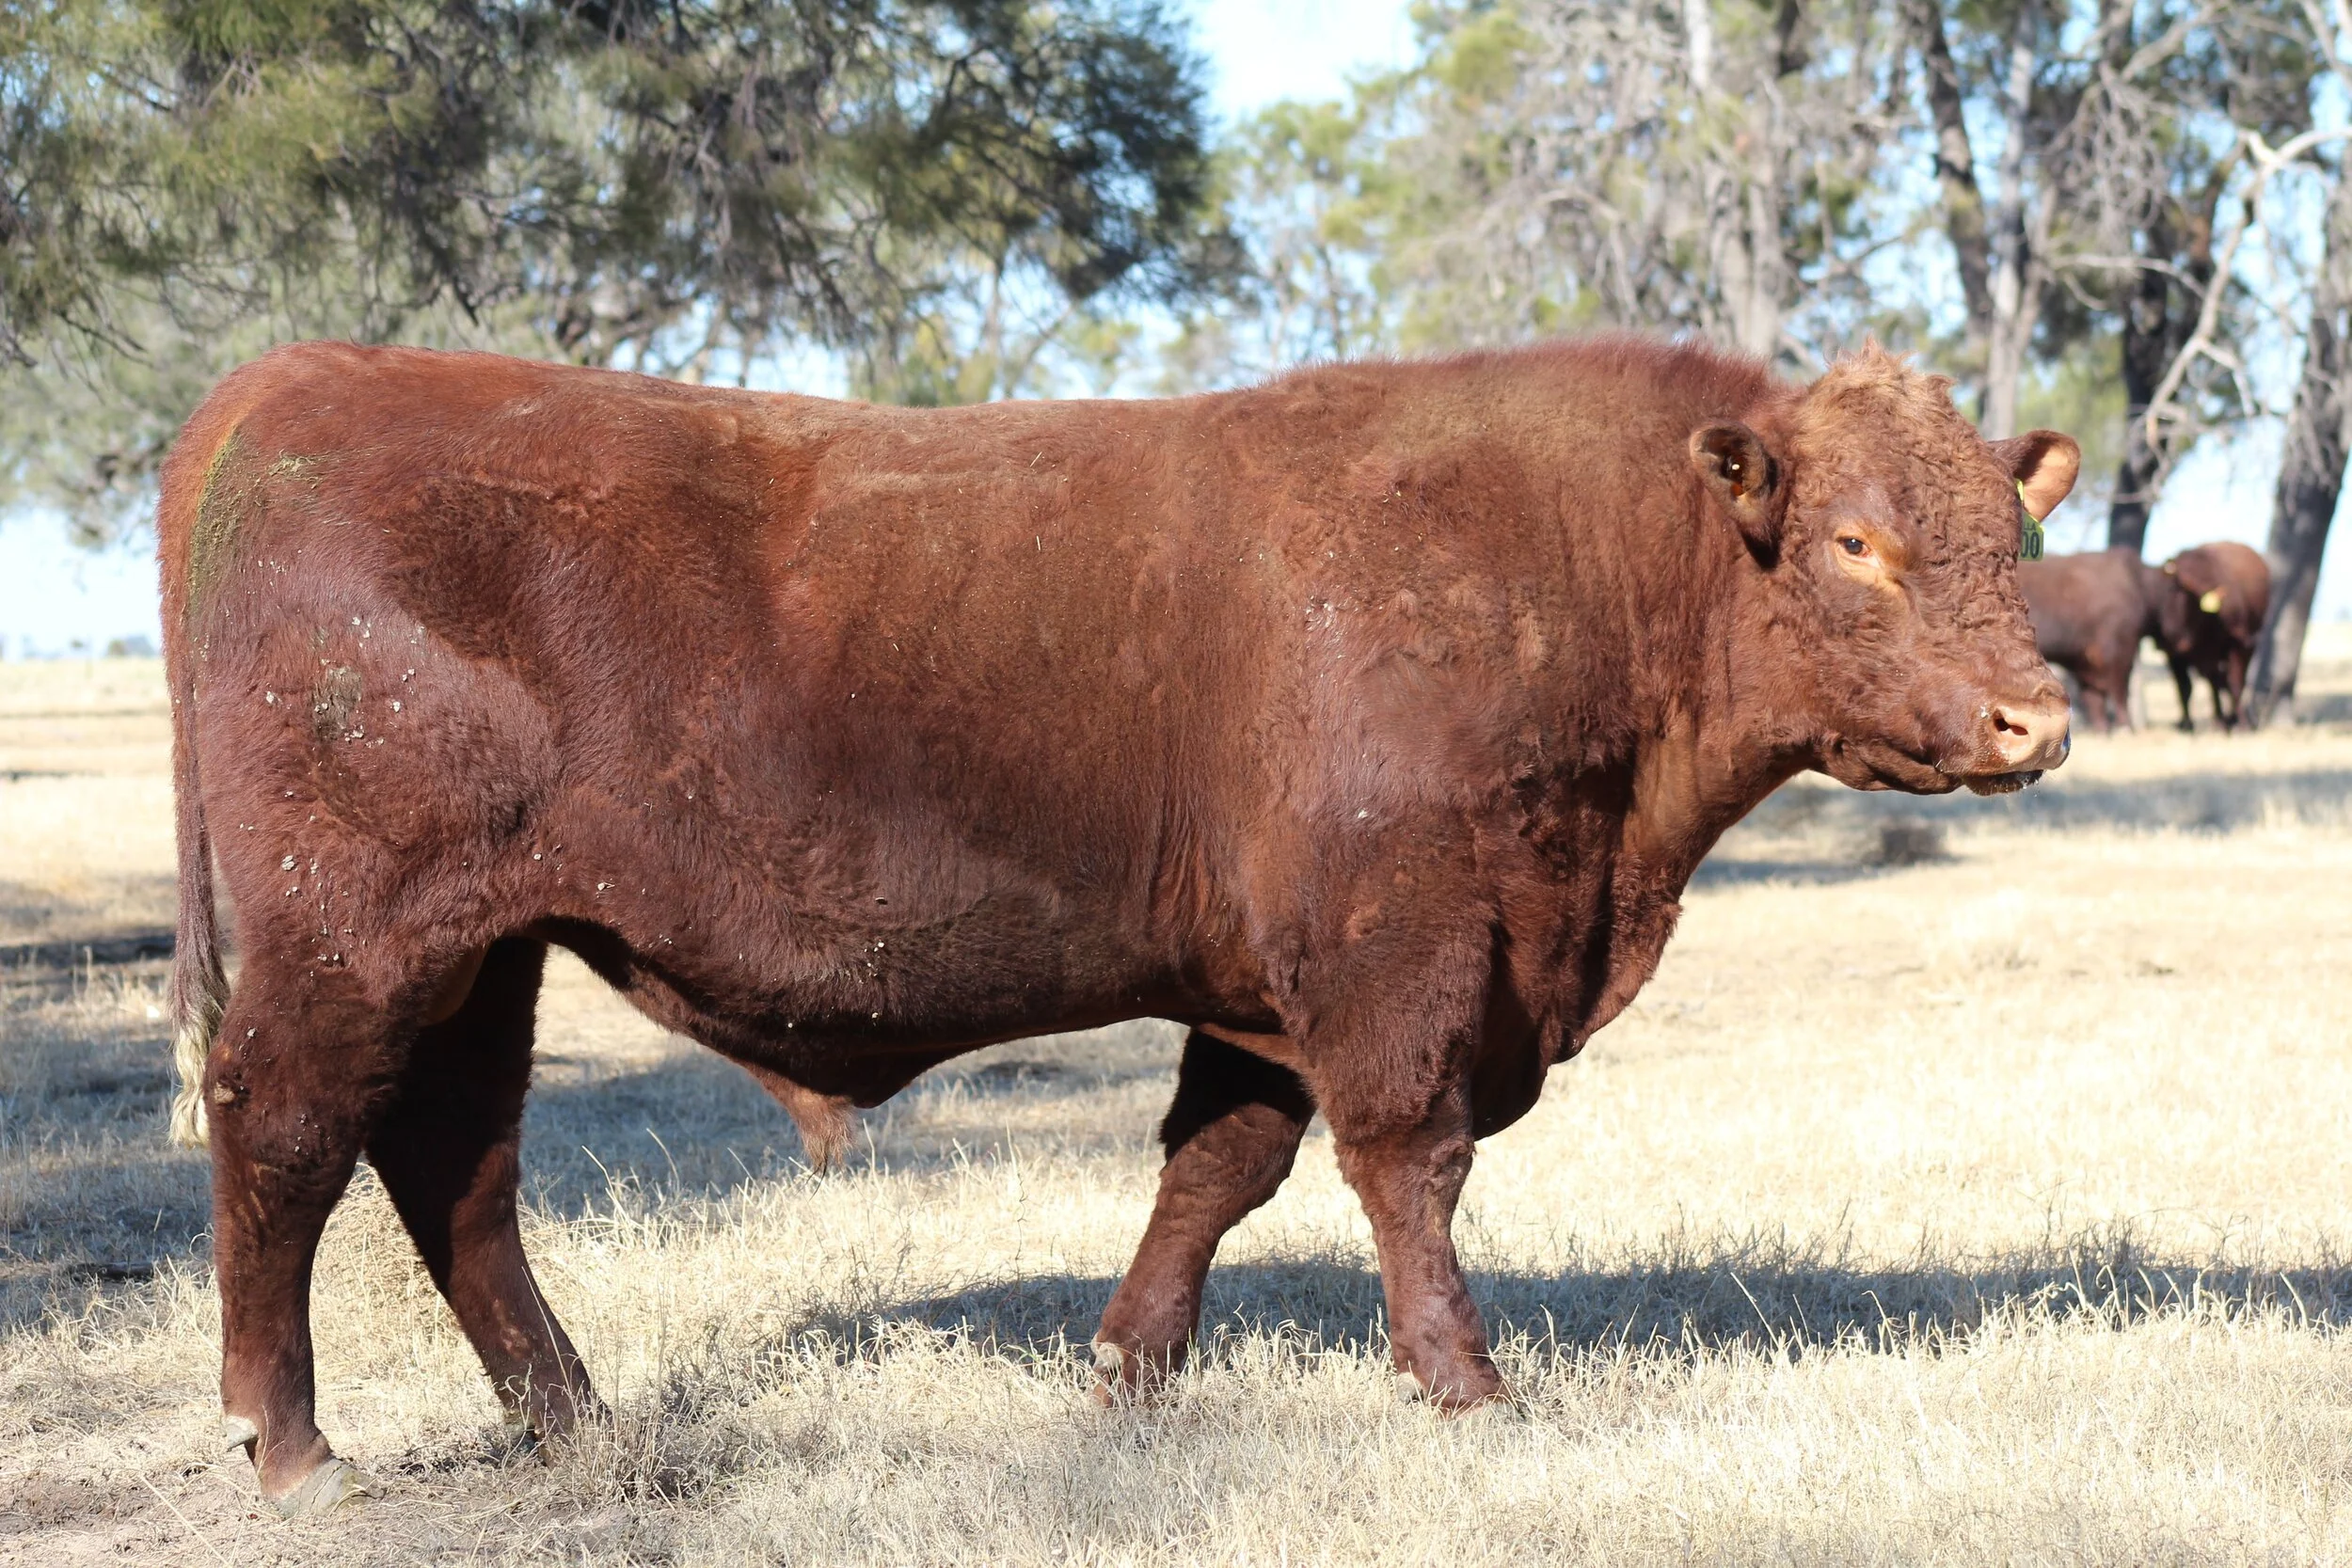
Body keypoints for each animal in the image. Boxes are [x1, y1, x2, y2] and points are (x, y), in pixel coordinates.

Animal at [158, 338, 2075, 1516]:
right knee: (287, 1130)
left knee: (454, 1166)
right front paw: (1466, 1381)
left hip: (488, 955)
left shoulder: (1265, 993)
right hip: (361, 941)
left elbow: (1219, 1164)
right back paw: (293, 1444)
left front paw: (1130, 1369)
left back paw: (571, 1417)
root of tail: (298, 382)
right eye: (1855, 541)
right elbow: (1410, 1161)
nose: (2034, 718)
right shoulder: (1398, 961)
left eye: (2016, 531)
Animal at [2017, 547, 2169, 733]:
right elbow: (2120, 692)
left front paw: (2102, 729)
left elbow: (2094, 697)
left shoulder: (2086, 661)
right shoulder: (2119, 651)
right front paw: (2124, 727)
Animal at [2154, 541, 2271, 732]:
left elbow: (2233, 682)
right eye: (2165, 594)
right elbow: (2189, 687)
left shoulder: (2236, 645)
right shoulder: (2178, 655)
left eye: (2189, 597)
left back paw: (2234, 719)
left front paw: (2240, 724)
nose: (2169, 638)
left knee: (2234, 681)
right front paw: (2192, 724)